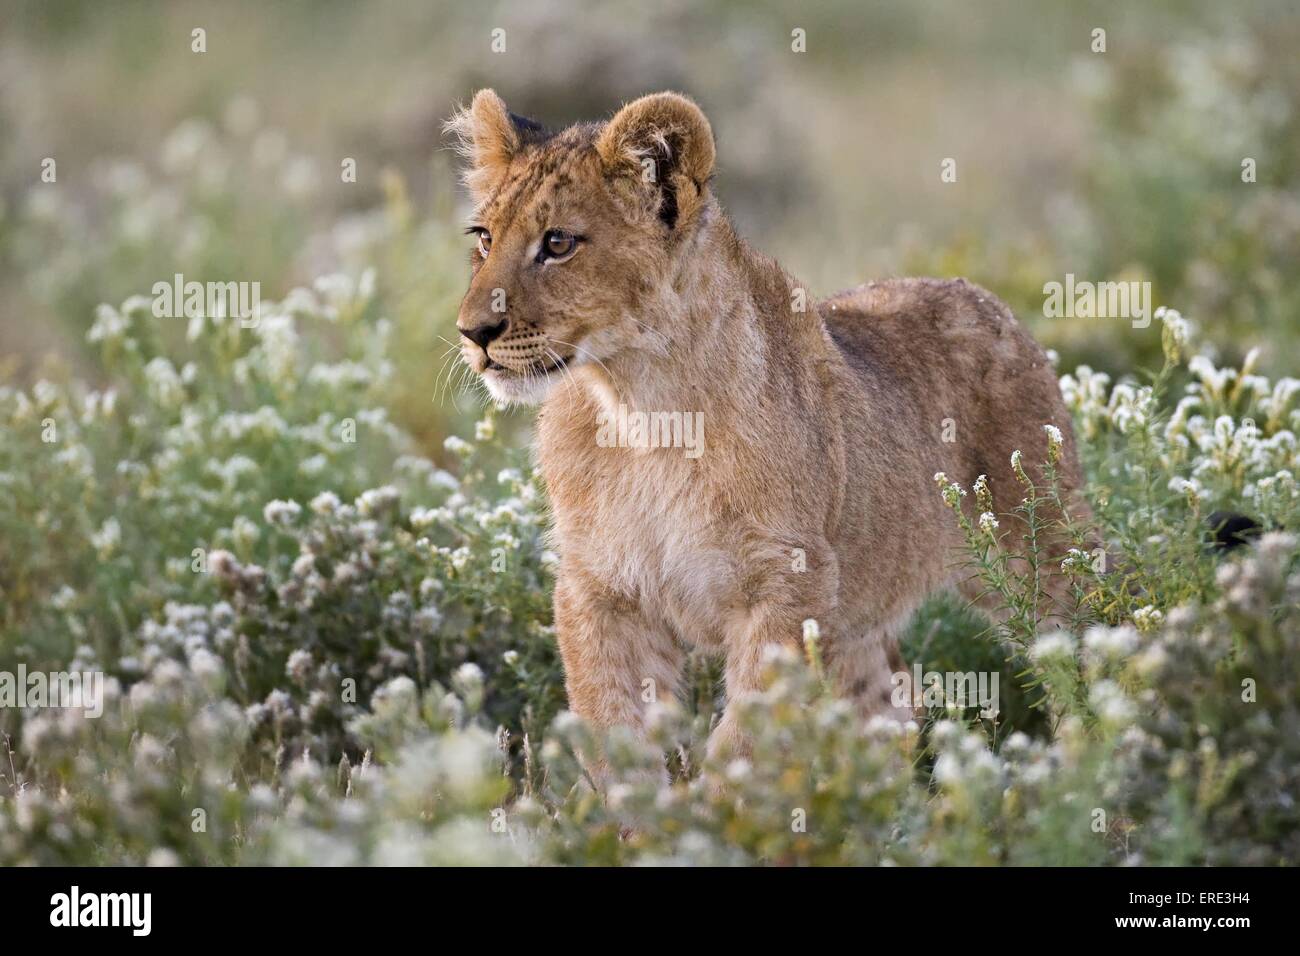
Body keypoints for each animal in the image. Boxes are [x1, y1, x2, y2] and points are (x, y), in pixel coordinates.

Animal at [448, 89, 1090, 762]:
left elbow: (744, 740)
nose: (473, 332)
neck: (640, 408)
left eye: (559, 243)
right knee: (892, 703)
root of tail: (987, 298)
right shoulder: (599, 592)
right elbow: (616, 737)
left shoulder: (789, 583)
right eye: (484, 237)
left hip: (1045, 551)